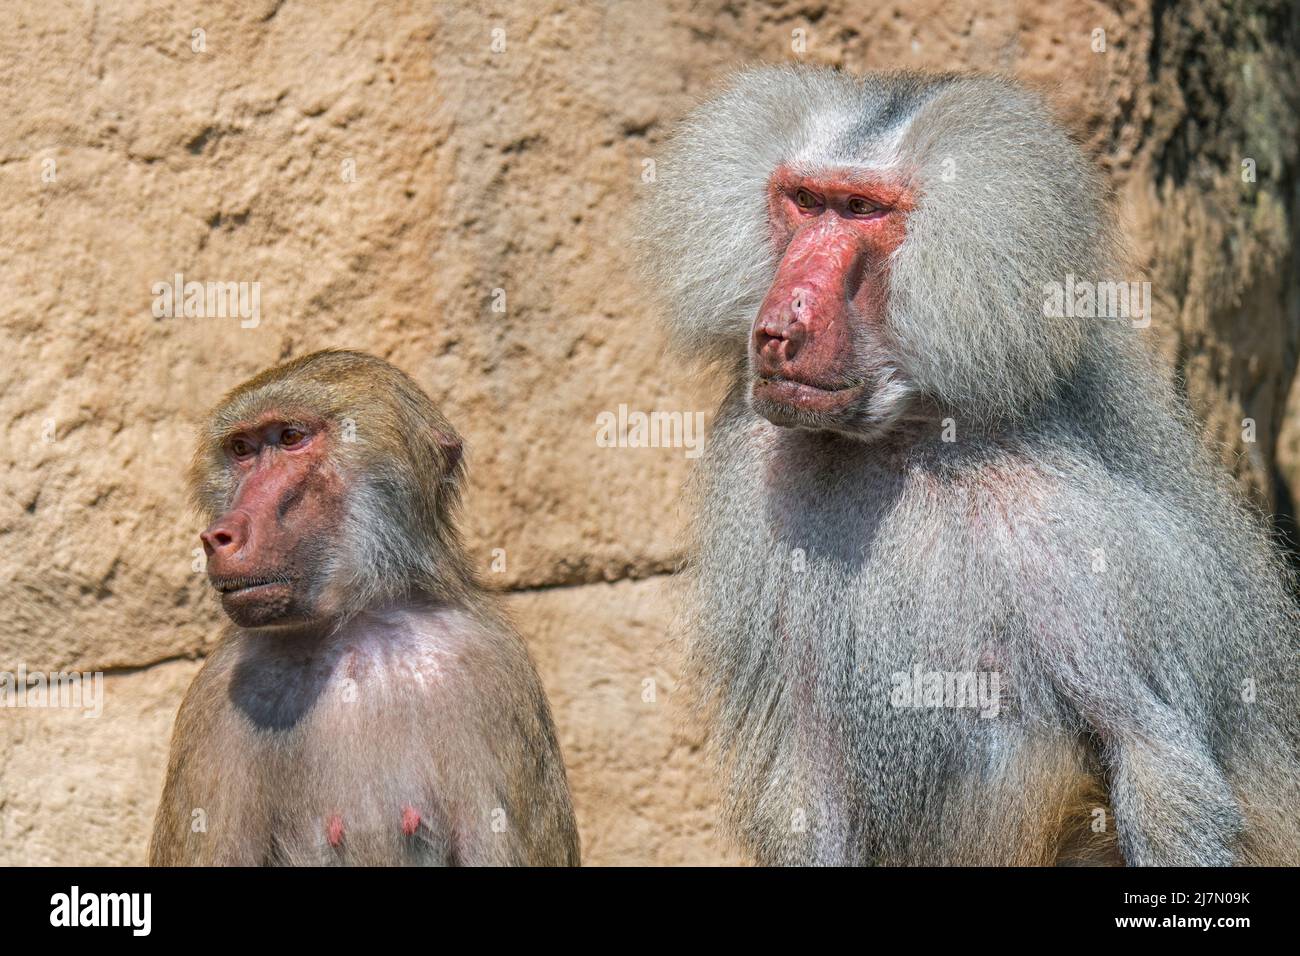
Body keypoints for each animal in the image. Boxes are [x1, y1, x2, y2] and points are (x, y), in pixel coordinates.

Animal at [149, 350, 580, 866]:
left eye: (290, 438)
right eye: (241, 449)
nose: (219, 536)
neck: (353, 631)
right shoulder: (216, 696)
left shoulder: (493, 666)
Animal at [638, 67, 1300, 866]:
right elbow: (809, 785)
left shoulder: (1070, 530)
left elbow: (1161, 768)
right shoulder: (759, 475)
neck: (907, 439)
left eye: (862, 210)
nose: (778, 330)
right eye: (803, 200)